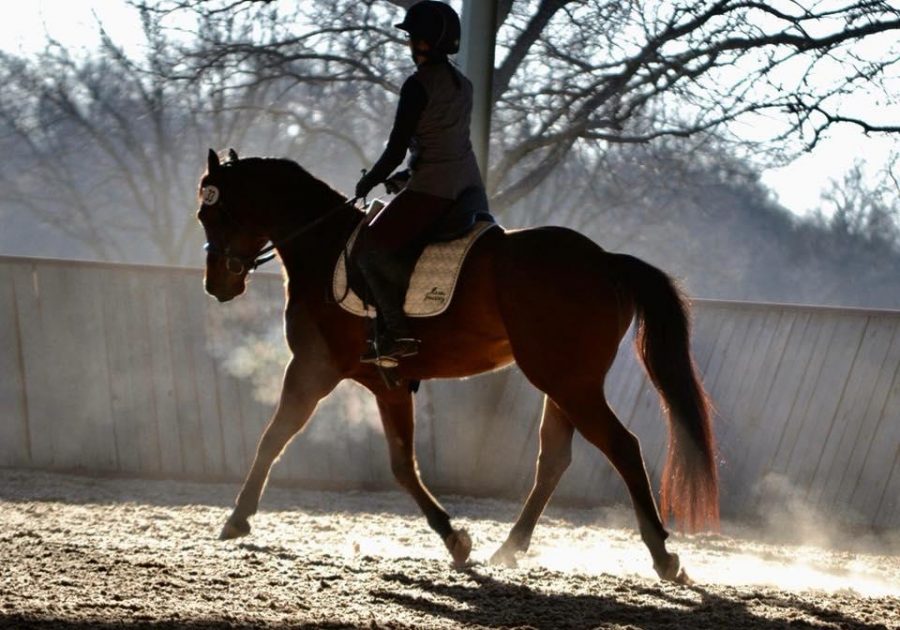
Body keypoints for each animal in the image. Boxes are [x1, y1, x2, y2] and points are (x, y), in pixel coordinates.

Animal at [197, 148, 718, 583]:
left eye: (213, 213)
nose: (217, 285)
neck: (324, 248)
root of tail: (606, 261)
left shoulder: (313, 368)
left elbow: (275, 438)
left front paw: (237, 519)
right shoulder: (387, 382)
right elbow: (401, 464)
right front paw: (456, 541)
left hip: (570, 383)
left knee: (621, 447)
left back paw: (663, 556)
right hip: (565, 382)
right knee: (554, 460)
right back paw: (509, 548)